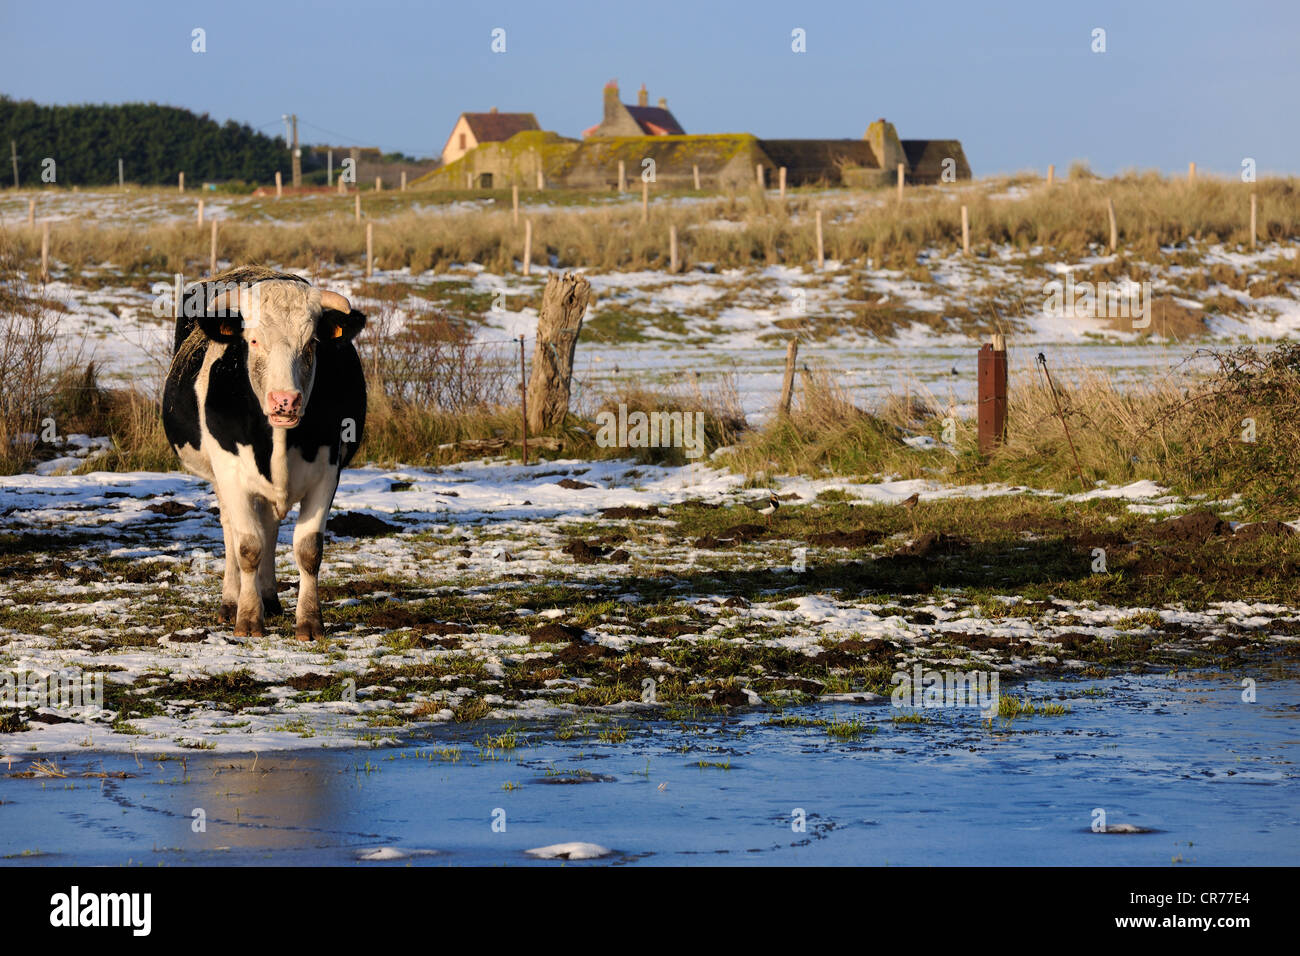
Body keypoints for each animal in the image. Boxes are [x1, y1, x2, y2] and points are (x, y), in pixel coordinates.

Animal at [162, 266, 367, 640]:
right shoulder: (230, 473)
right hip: (219, 478)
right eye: (254, 340)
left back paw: (270, 598)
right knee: (232, 530)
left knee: (270, 527)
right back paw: (231, 602)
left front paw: (309, 621)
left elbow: (308, 549)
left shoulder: (328, 472)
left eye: (311, 343)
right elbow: (247, 546)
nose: (285, 400)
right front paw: (247, 617)